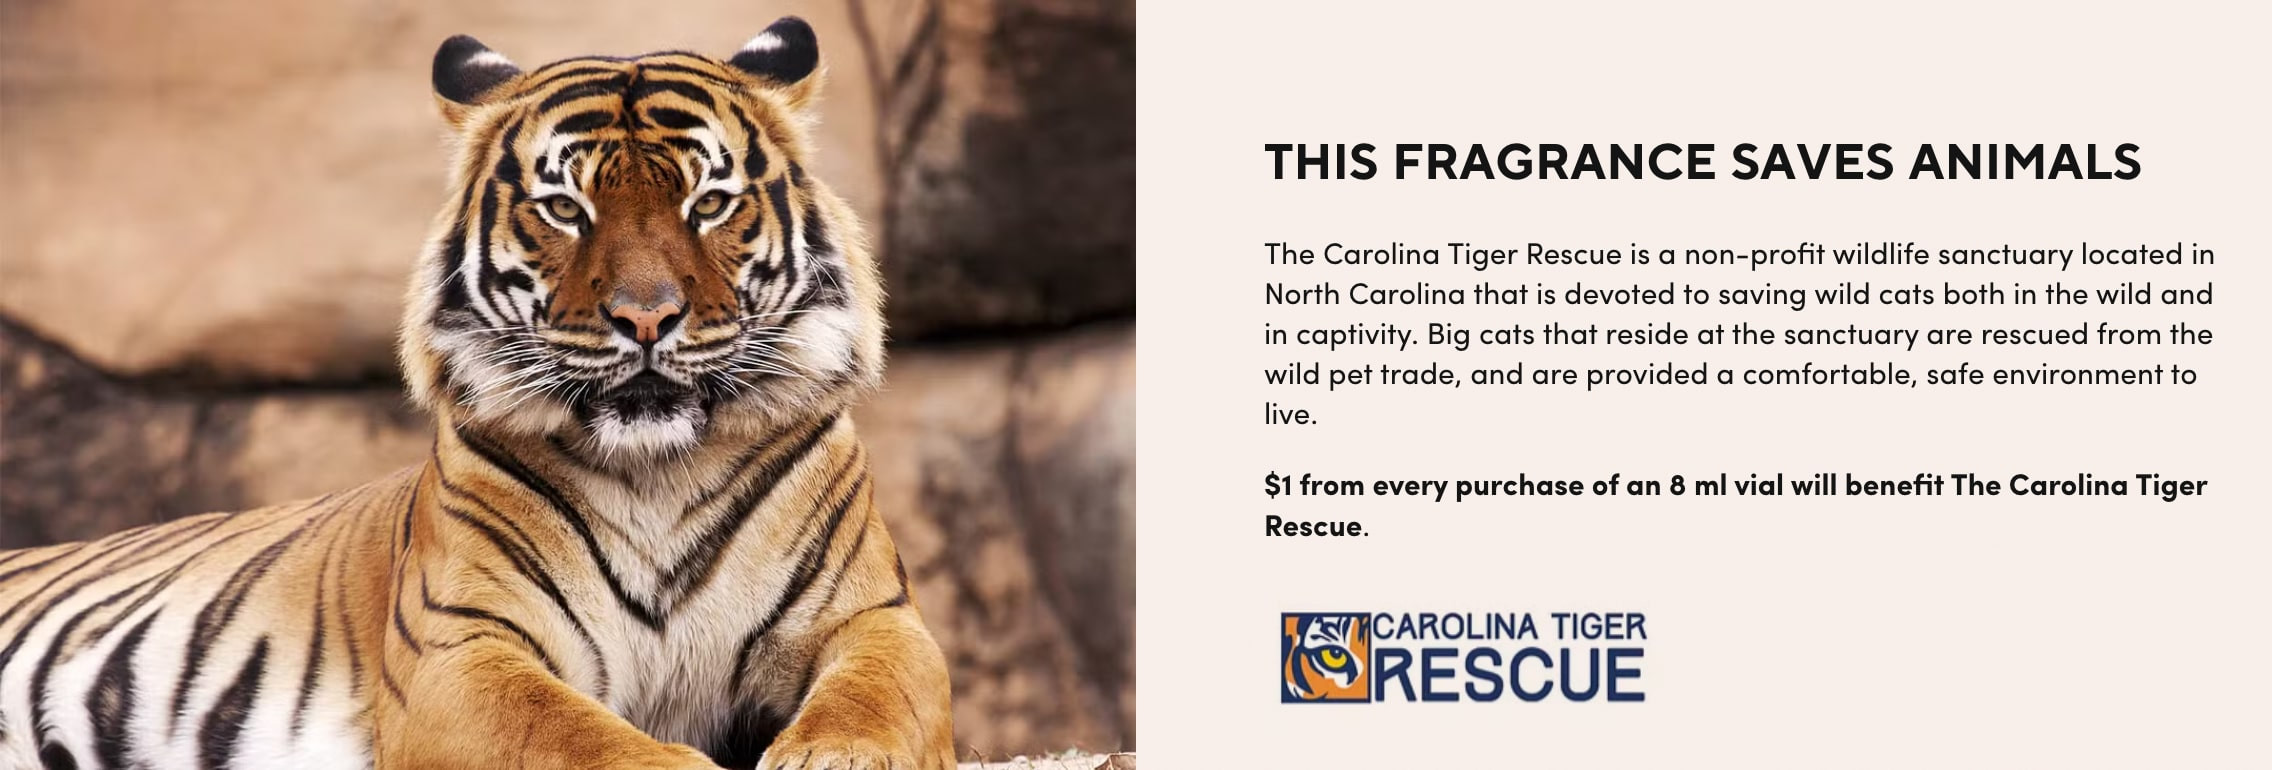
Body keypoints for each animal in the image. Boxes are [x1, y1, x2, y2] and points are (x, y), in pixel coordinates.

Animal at [0, 15, 955, 770]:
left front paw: (836, 755)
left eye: (710, 203)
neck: (658, 471)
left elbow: (882, 694)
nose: (646, 319)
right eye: (565, 208)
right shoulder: (462, 650)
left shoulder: (875, 616)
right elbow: (585, 739)